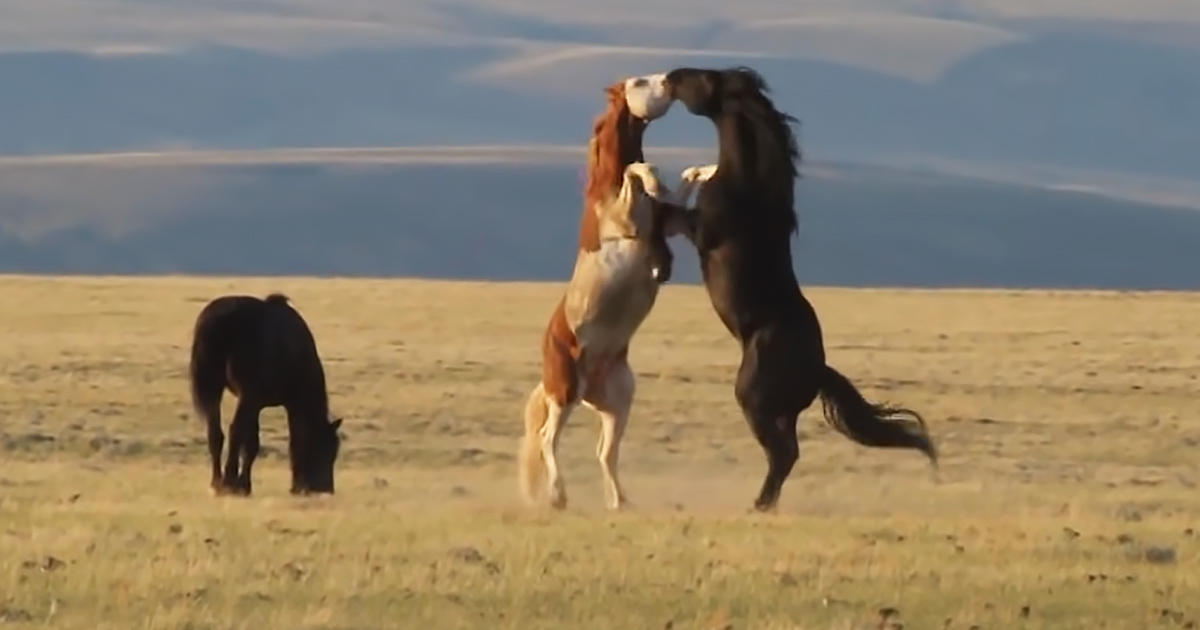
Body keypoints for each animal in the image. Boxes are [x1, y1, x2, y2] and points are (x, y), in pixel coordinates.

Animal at [188, 292, 343, 497]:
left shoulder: (257, 404)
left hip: (214, 389)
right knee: (235, 430)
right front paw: (243, 484)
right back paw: (228, 482)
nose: (326, 488)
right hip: (245, 395)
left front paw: (245, 484)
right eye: (326, 449)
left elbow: (252, 442)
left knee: (215, 433)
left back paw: (216, 483)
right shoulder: (261, 400)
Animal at [518, 74, 678, 511]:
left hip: (617, 401)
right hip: (565, 393)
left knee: (605, 453)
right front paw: (655, 180)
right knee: (548, 440)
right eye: (639, 81)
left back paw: (620, 502)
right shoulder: (625, 216)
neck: (604, 186)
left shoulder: (672, 226)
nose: (672, 80)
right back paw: (558, 496)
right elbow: (638, 170)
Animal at [660, 66, 938, 512]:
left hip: (755, 399)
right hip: (781, 411)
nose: (670, 76)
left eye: (703, 78)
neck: (747, 185)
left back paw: (758, 506)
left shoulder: (699, 230)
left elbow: (669, 209)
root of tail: (817, 369)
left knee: (783, 453)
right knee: (786, 453)